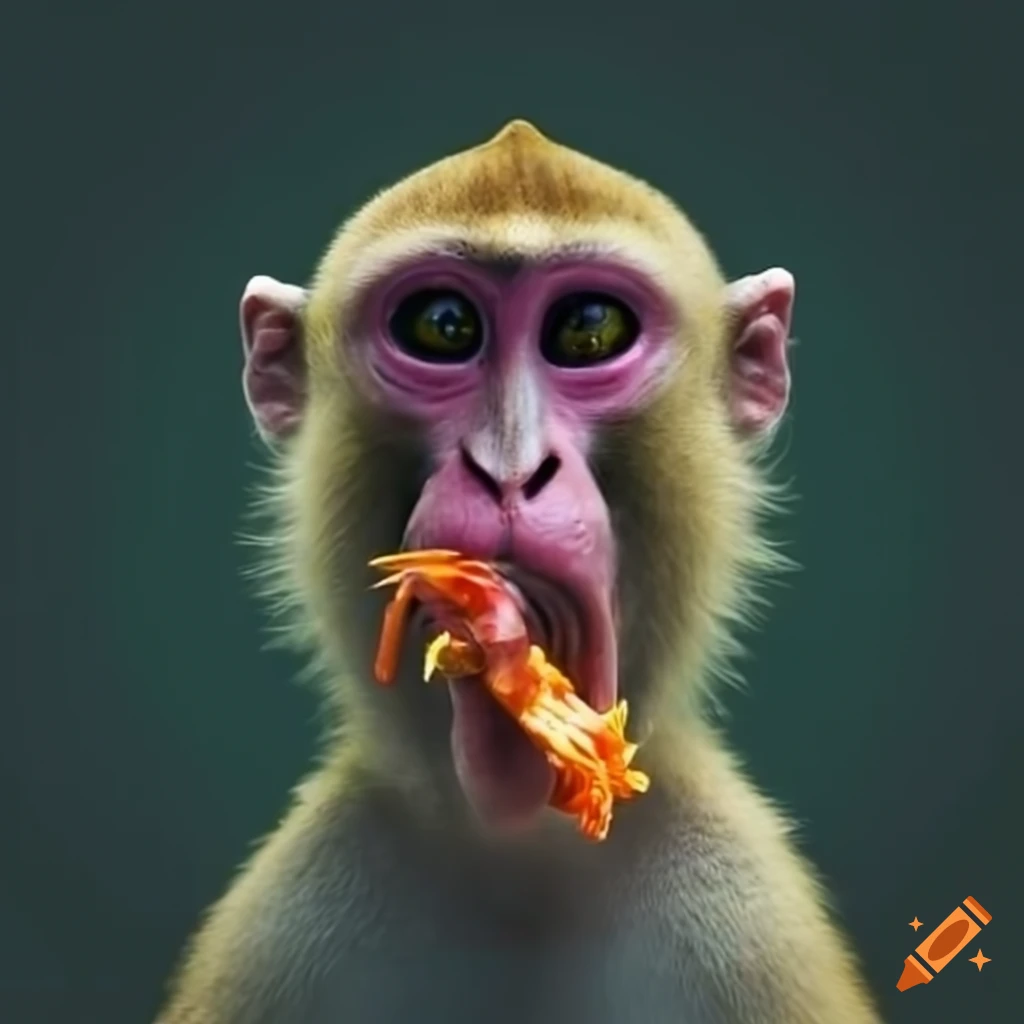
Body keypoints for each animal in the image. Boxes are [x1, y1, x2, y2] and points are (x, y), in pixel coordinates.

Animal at [155, 120, 881, 1024]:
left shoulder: (743, 925)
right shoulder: (287, 925)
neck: (521, 858)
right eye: (442, 326)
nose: (509, 469)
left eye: (589, 329)